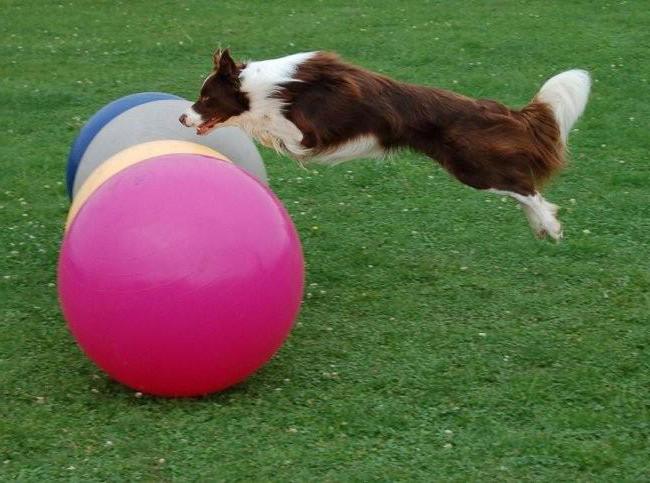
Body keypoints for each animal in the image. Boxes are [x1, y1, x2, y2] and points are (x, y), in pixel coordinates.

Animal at [177, 49, 588, 240]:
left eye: (206, 99)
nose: (181, 118)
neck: (256, 87)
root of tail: (496, 109)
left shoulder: (308, 134)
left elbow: (270, 124)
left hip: (472, 166)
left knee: (525, 187)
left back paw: (550, 225)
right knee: (522, 189)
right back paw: (541, 226)